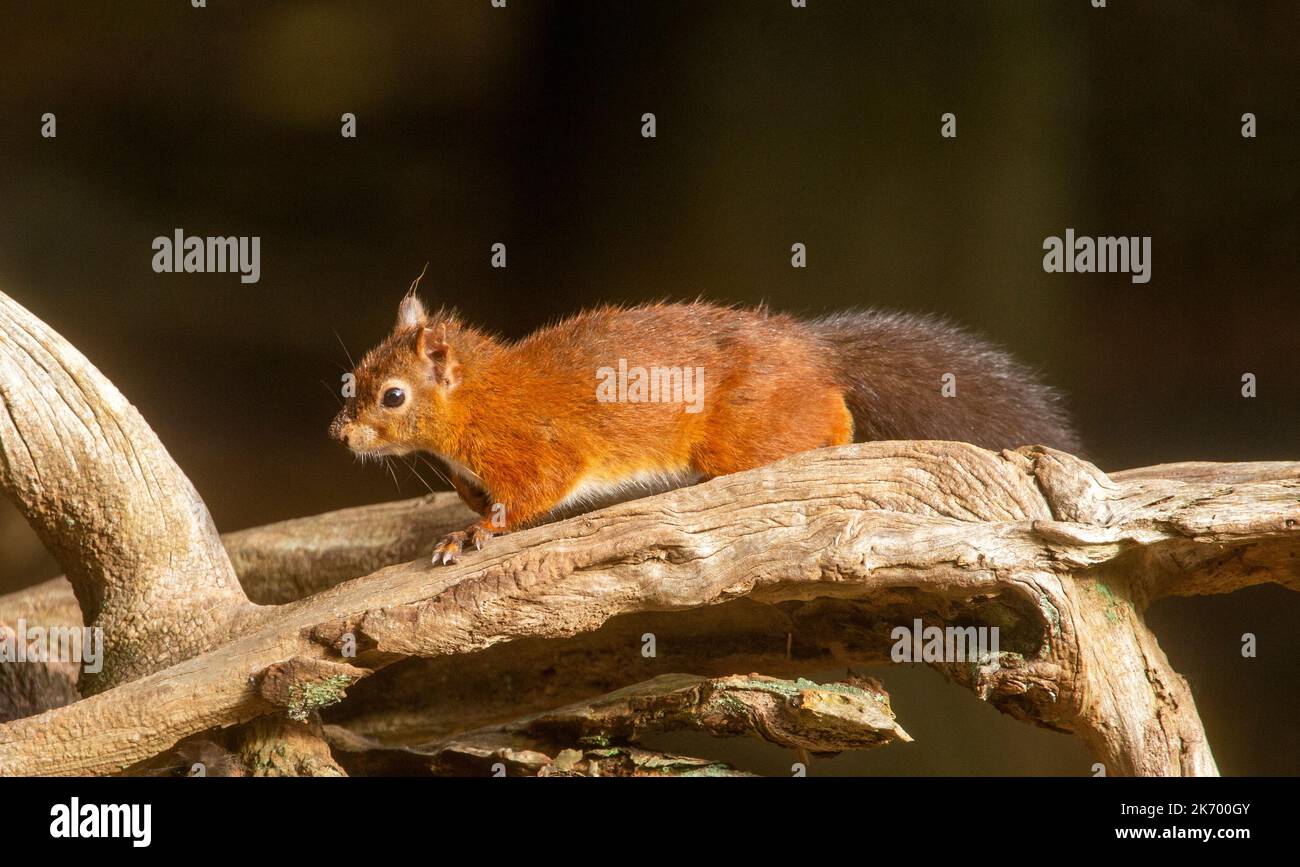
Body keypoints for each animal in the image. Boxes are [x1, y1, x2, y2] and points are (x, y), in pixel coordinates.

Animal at [330, 296, 1080, 564]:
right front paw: (466, 508)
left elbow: (531, 492)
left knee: (832, 420)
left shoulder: (537, 445)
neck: (482, 400)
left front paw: (473, 532)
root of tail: (812, 350)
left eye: (393, 396)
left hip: (741, 434)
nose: (341, 434)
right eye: (357, 376)